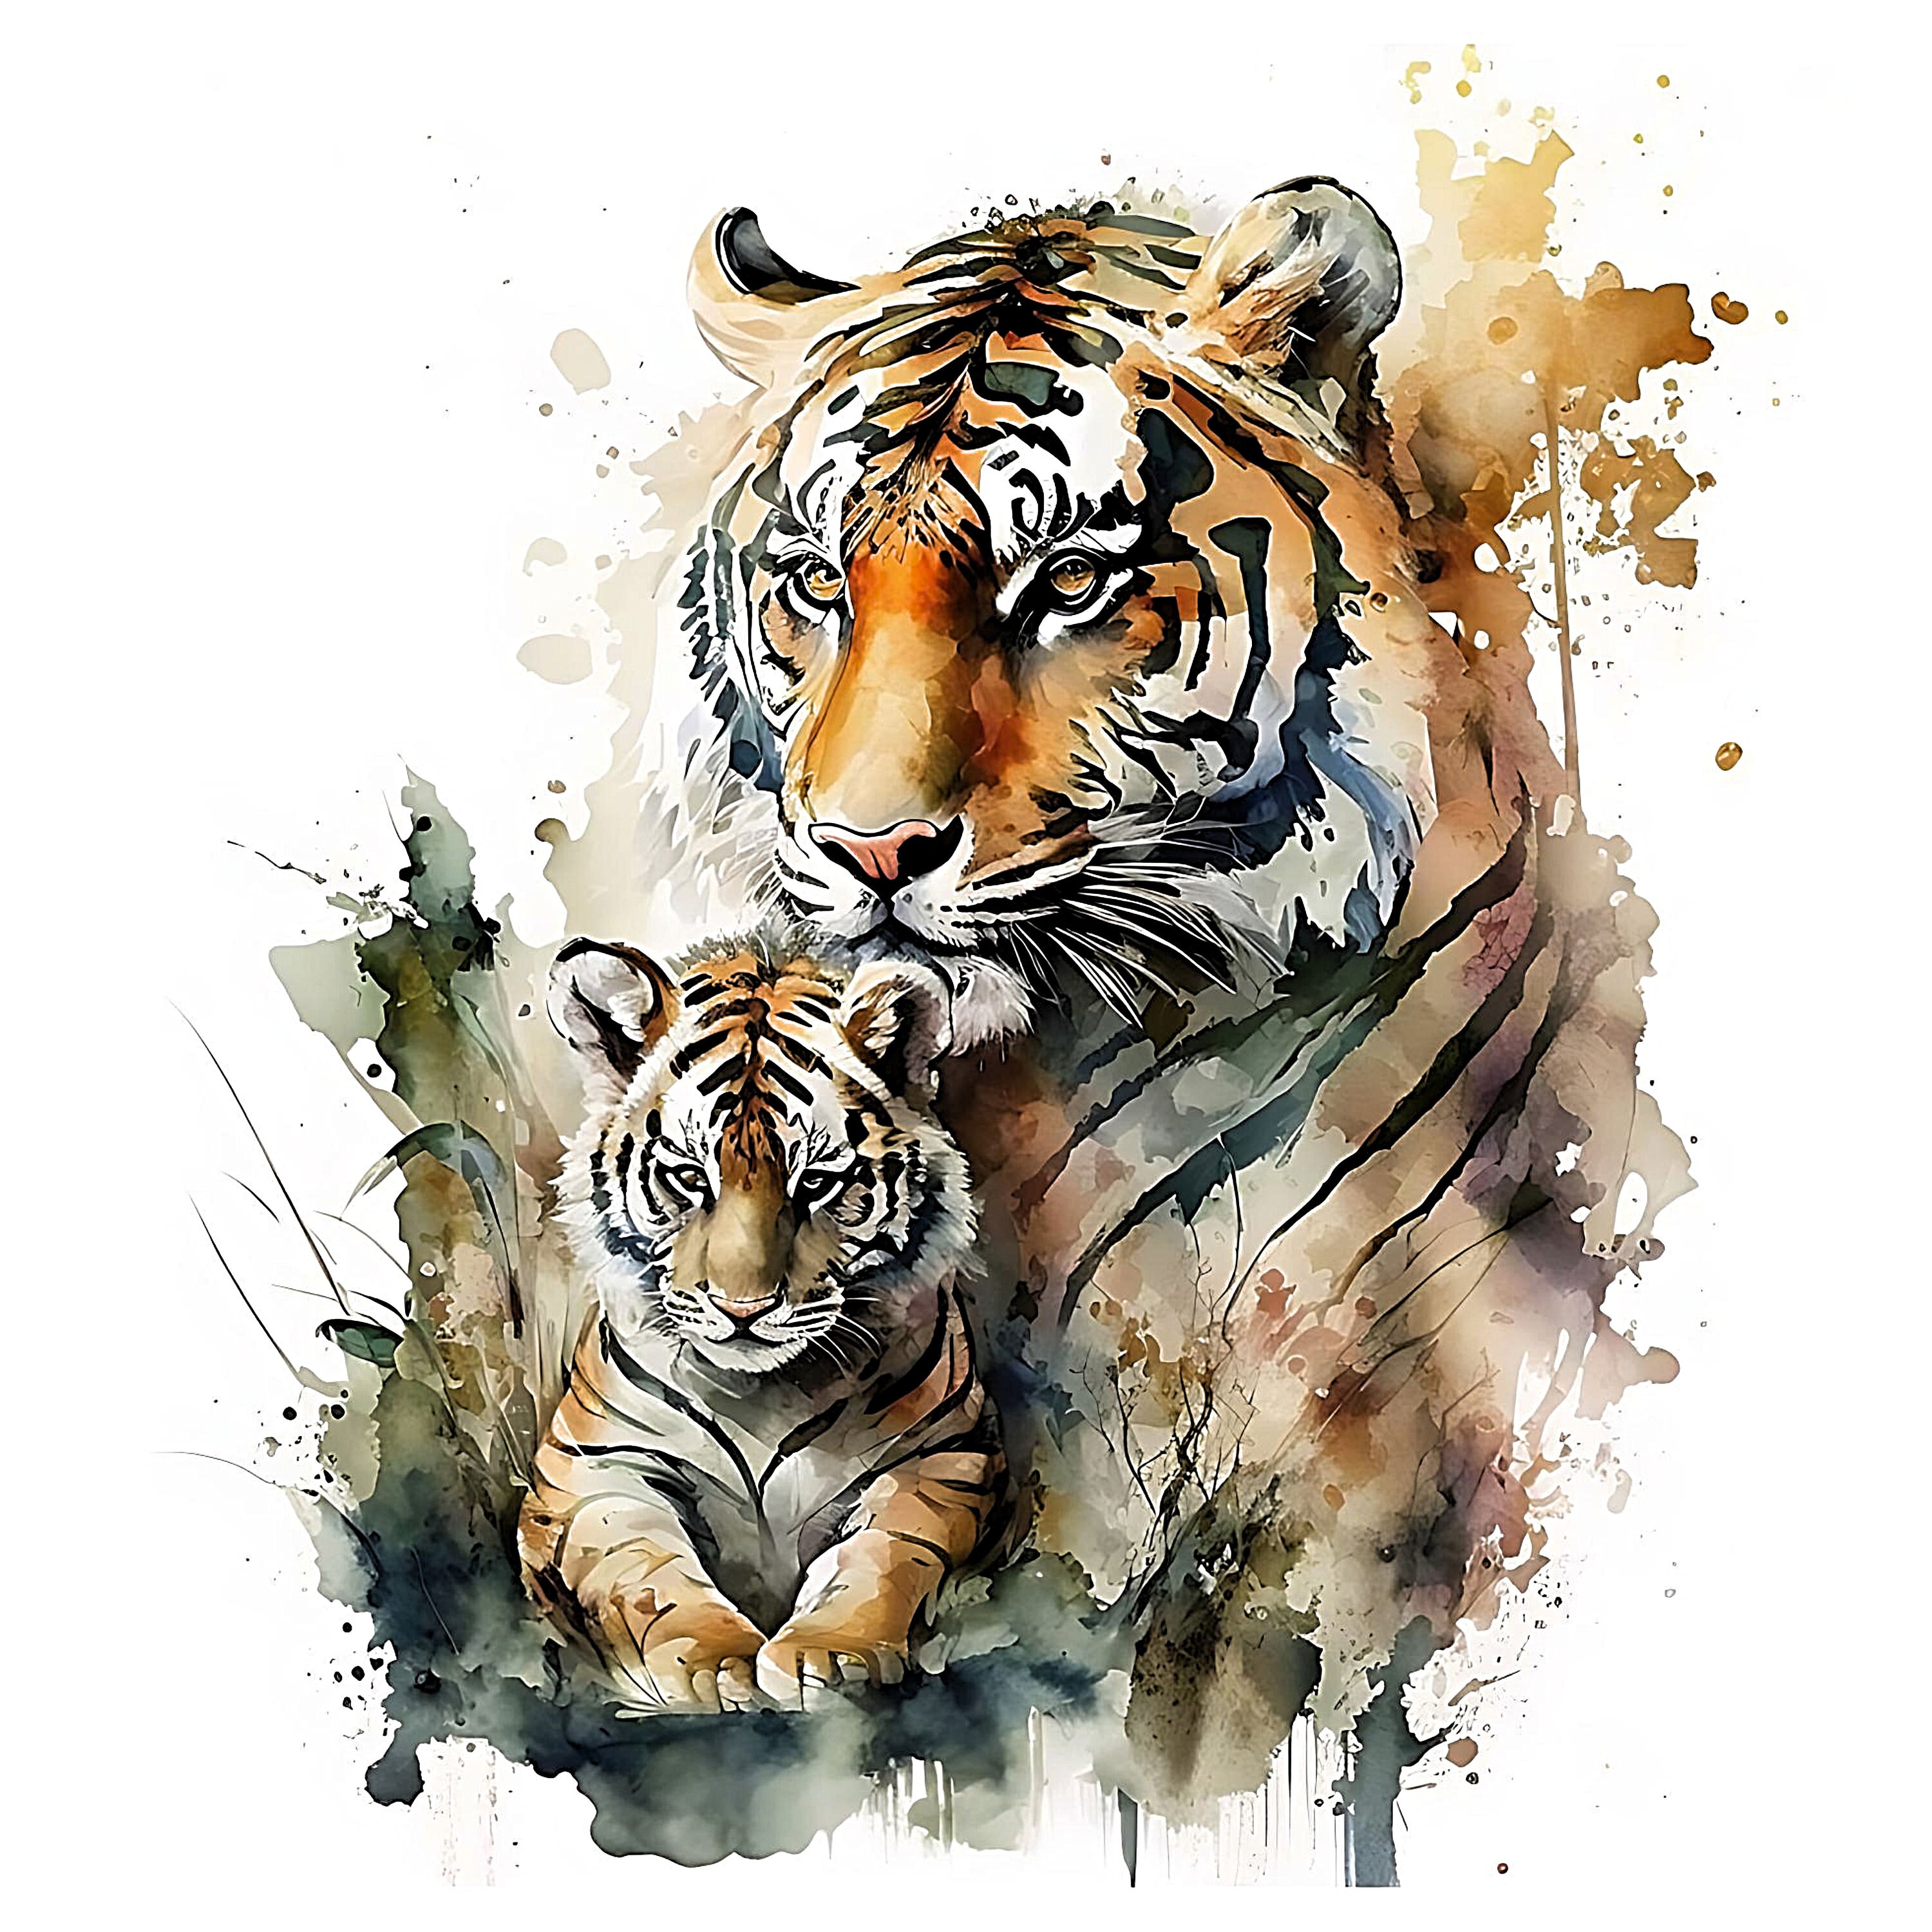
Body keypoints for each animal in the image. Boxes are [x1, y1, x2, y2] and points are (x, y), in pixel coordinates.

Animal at [517, 931, 1007, 1714]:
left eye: (818, 1183)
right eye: (690, 1178)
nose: (742, 1311)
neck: (760, 1393)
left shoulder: (945, 1458)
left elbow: (883, 1556)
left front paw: (827, 1653)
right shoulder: (595, 1475)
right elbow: (647, 1574)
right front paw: (718, 1664)